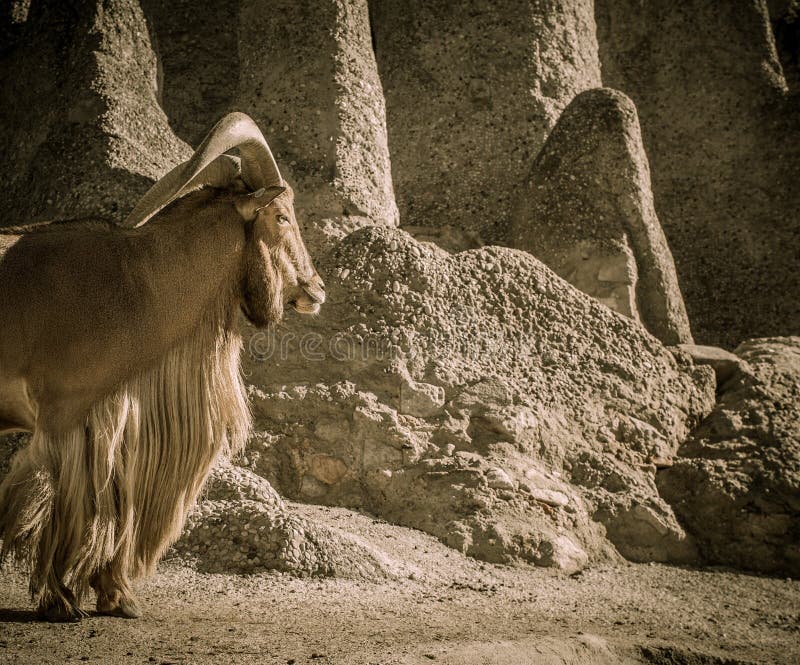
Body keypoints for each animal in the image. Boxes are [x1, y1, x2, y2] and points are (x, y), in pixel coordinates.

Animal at [0, 113, 325, 621]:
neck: (132, 288)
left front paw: (116, 596)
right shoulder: (65, 418)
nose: (316, 288)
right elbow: (57, 498)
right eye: (283, 216)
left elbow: (116, 506)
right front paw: (59, 599)